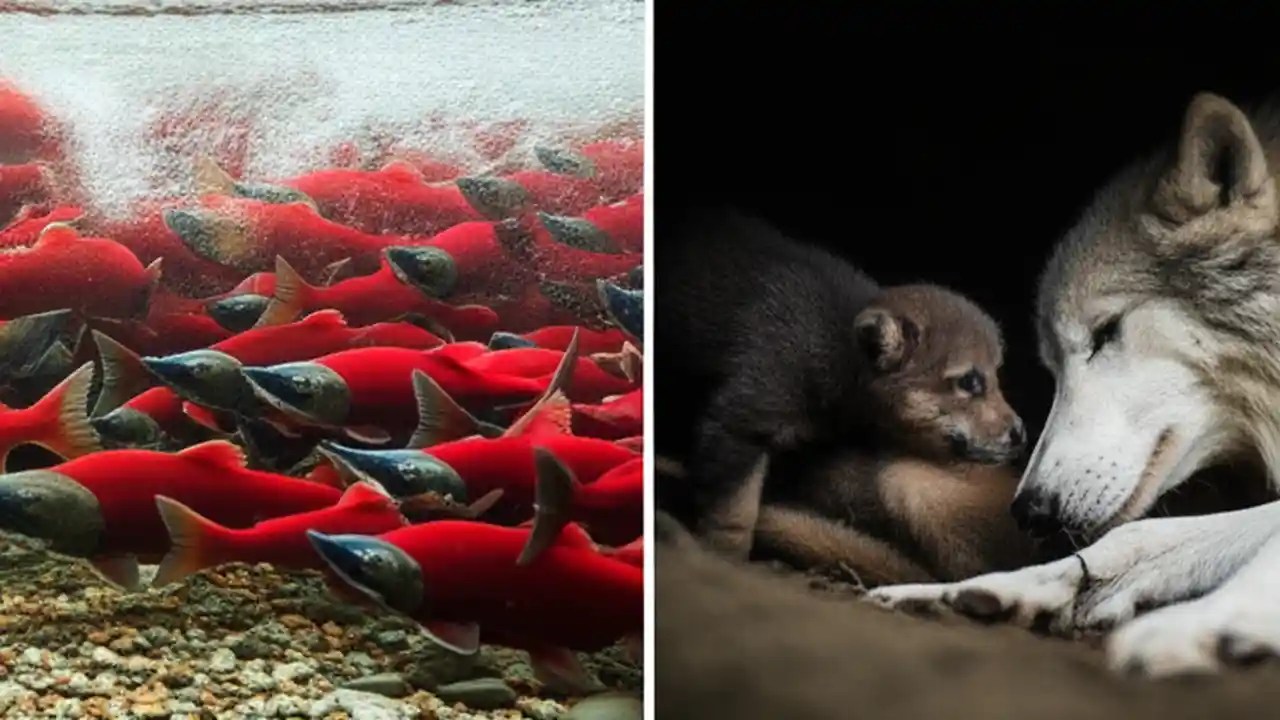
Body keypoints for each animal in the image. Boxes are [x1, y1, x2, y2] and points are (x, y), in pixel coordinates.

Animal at [866, 92, 1280, 678]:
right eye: (1052, 367)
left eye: (1105, 332)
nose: (1031, 510)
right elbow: (1139, 535)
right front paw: (997, 589)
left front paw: (1209, 623)